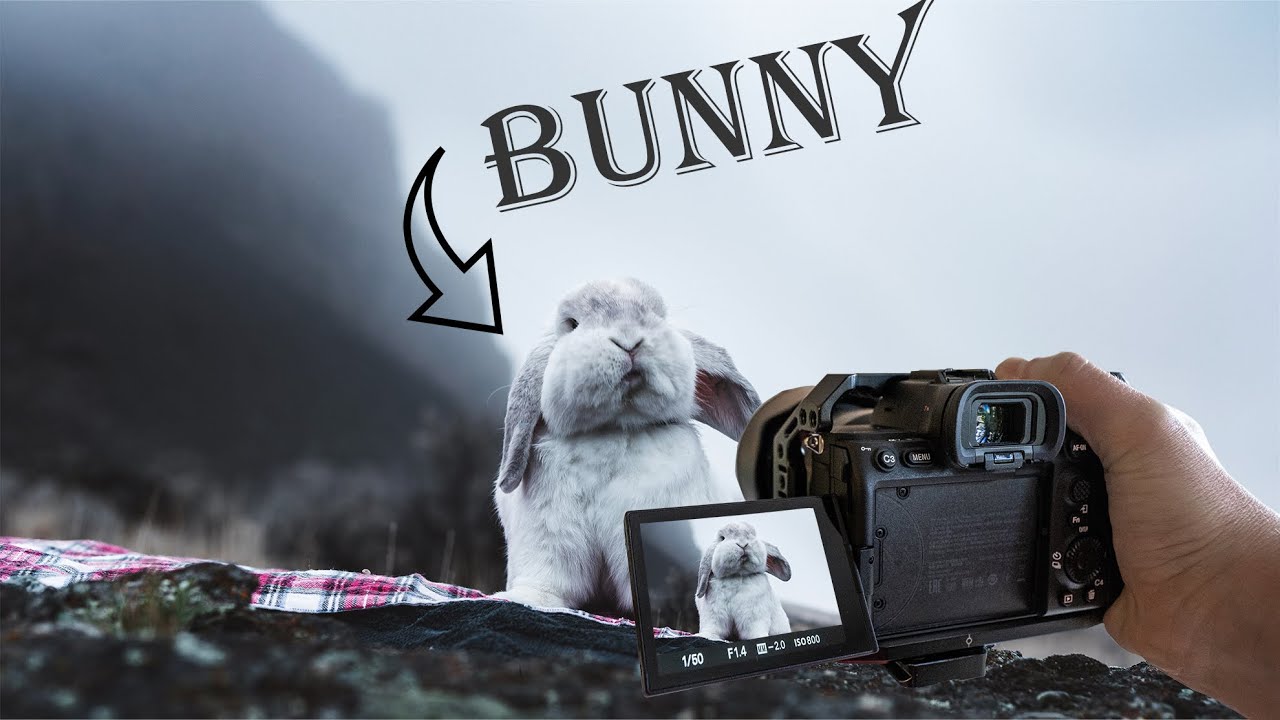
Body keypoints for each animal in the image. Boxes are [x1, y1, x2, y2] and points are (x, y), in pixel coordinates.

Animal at [493, 278, 760, 614]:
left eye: (659, 315)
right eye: (572, 324)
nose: (629, 340)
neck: (615, 427)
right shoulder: (550, 538)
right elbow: (549, 582)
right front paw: (527, 600)